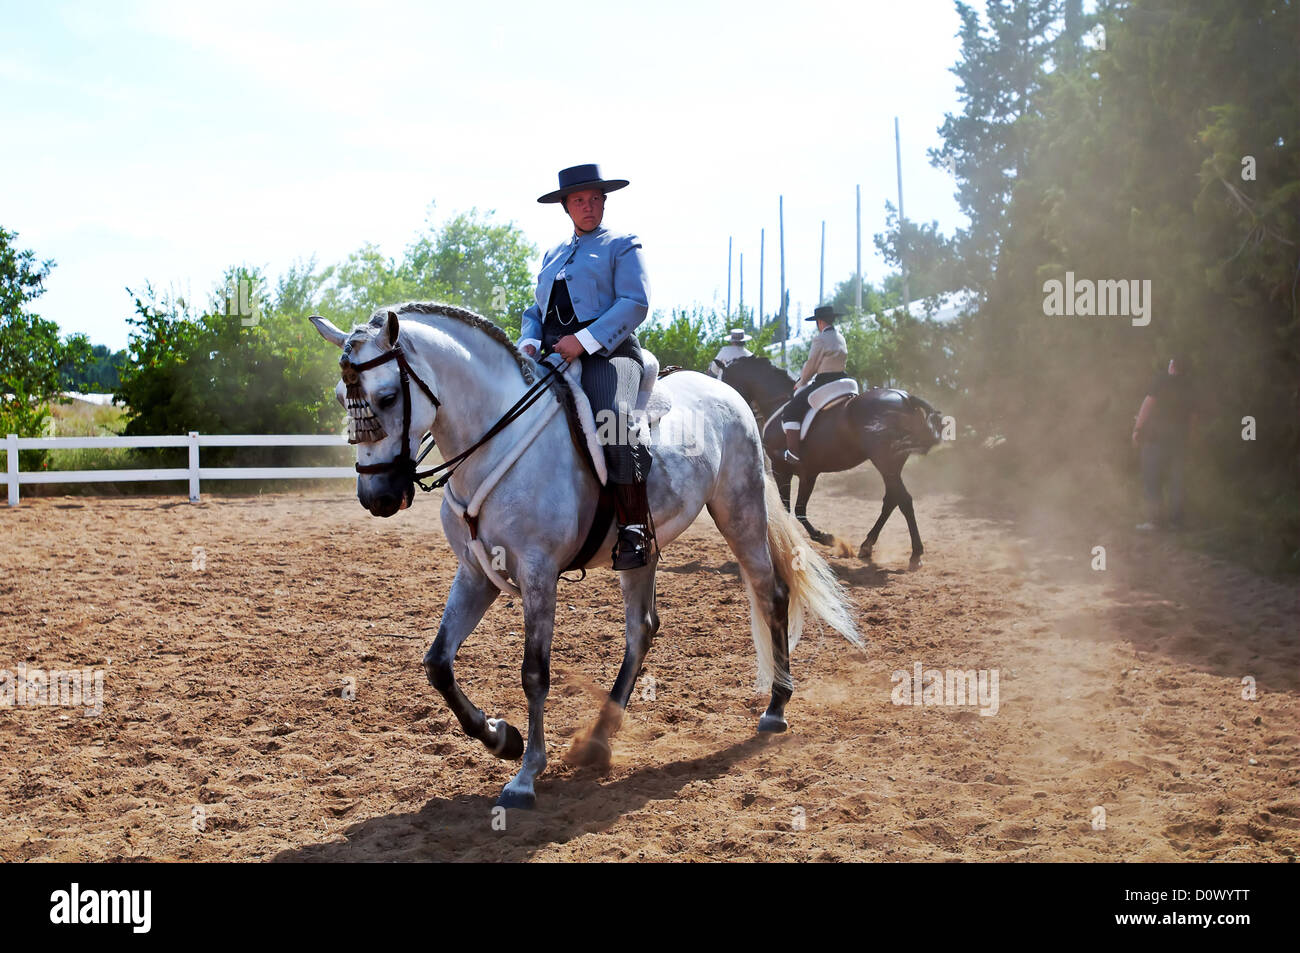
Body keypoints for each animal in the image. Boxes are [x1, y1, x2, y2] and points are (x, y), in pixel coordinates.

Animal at [309, 304, 861, 809]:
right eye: (340, 396)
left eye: (387, 396)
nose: (377, 497)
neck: (494, 440)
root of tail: (727, 394)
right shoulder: (475, 574)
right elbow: (438, 664)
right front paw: (500, 737)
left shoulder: (539, 575)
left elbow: (534, 673)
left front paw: (525, 776)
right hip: (643, 551)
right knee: (643, 629)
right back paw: (598, 739)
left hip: (739, 511)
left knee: (771, 594)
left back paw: (776, 707)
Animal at [720, 355, 945, 569]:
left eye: (726, 380)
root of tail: (904, 397)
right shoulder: (806, 472)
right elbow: (795, 509)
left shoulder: (786, 469)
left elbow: (794, 510)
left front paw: (825, 538)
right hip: (891, 464)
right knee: (892, 500)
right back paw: (867, 546)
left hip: (885, 462)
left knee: (903, 500)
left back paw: (915, 554)